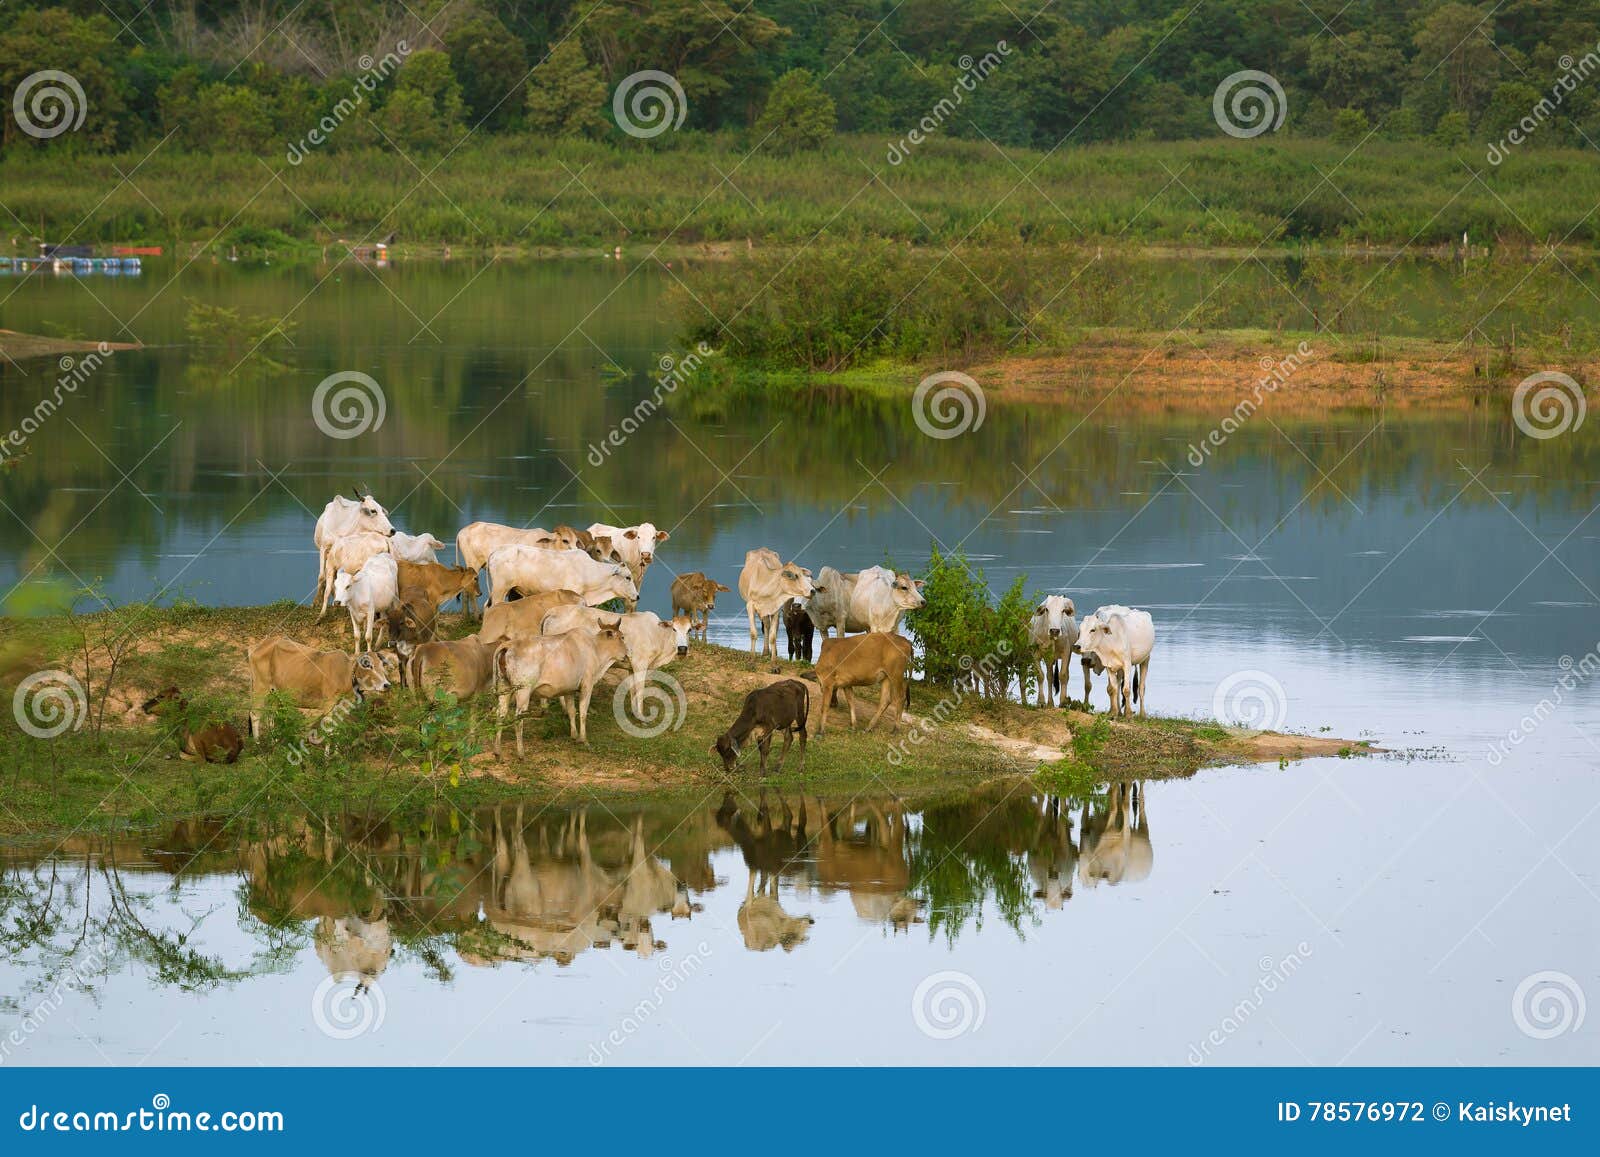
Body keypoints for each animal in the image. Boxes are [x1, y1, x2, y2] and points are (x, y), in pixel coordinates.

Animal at [246, 636, 391, 738]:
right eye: (367, 665)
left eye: (382, 665)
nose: (387, 685)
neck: (345, 673)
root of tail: (257, 647)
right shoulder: (328, 705)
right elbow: (329, 731)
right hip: (261, 688)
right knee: (255, 715)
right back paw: (258, 745)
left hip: (276, 694)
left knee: (271, 717)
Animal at [493, 625, 629, 753]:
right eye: (622, 637)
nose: (627, 653)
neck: (594, 647)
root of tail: (508, 645)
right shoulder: (587, 685)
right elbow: (583, 712)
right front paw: (583, 739)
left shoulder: (569, 689)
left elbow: (572, 711)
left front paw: (574, 735)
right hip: (523, 691)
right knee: (518, 719)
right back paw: (521, 753)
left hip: (504, 686)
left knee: (501, 714)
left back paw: (497, 752)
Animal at [539, 606, 694, 717]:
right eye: (674, 629)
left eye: (689, 630)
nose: (682, 648)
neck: (656, 634)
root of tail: (553, 611)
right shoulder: (640, 664)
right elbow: (640, 690)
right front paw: (641, 716)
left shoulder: (631, 667)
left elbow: (633, 690)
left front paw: (634, 713)